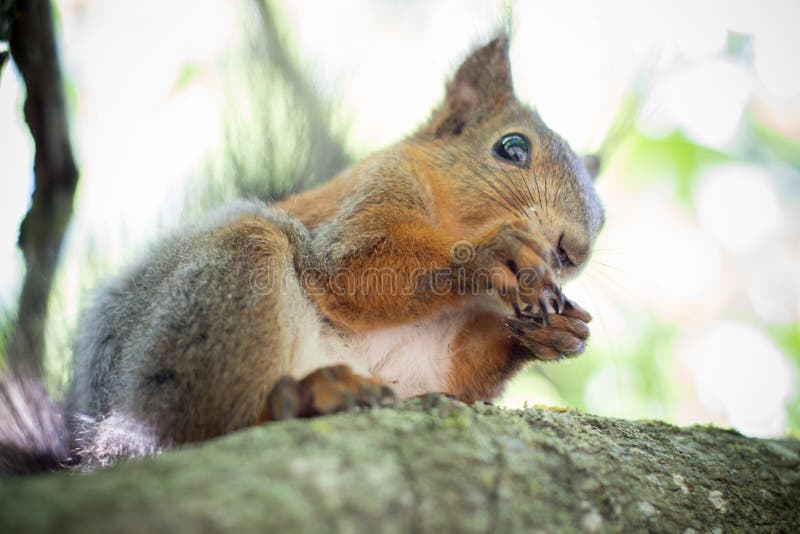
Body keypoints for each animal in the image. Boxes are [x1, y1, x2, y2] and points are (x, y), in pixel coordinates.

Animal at [0, 35, 603, 473]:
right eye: (511, 148)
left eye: (602, 216)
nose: (572, 250)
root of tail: (97, 443)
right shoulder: (373, 193)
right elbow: (355, 273)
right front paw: (492, 251)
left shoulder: (418, 365)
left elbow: (447, 371)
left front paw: (553, 332)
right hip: (222, 289)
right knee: (191, 428)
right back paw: (298, 400)